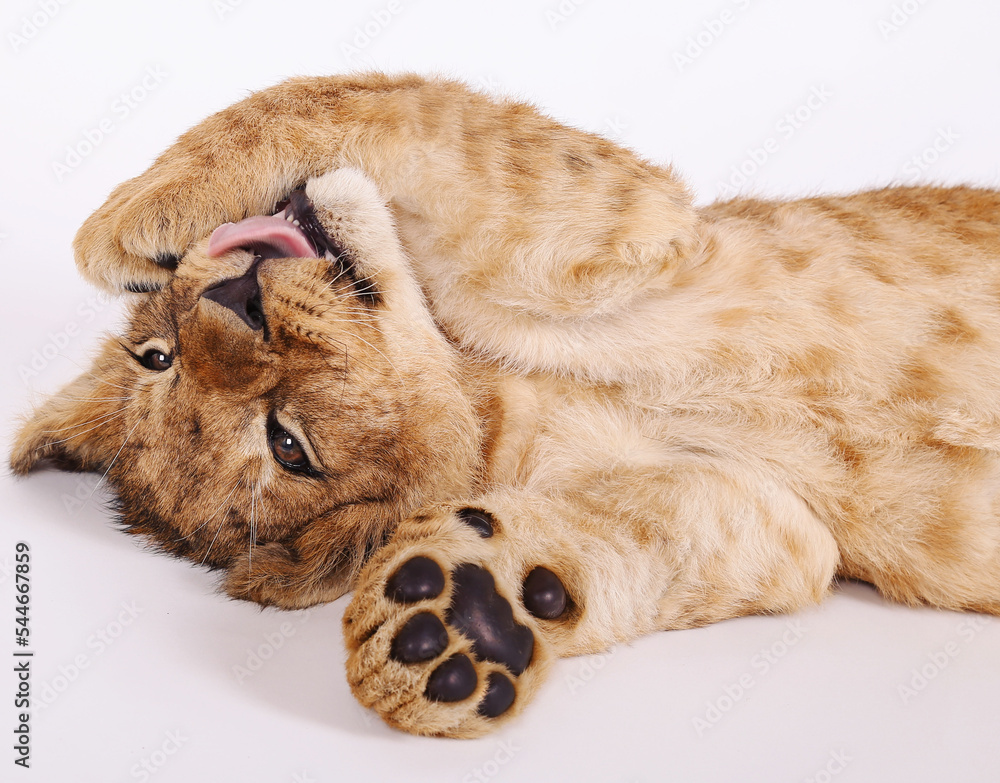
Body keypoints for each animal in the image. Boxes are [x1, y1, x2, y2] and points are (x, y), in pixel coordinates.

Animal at [10, 73, 1000, 737]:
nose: (233, 297)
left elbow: (392, 99)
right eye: (285, 444)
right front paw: (459, 624)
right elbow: (629, 532)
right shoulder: (767, 522)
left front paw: (134, 218)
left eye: (159, 356)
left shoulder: (630, 223)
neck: (500, 387)